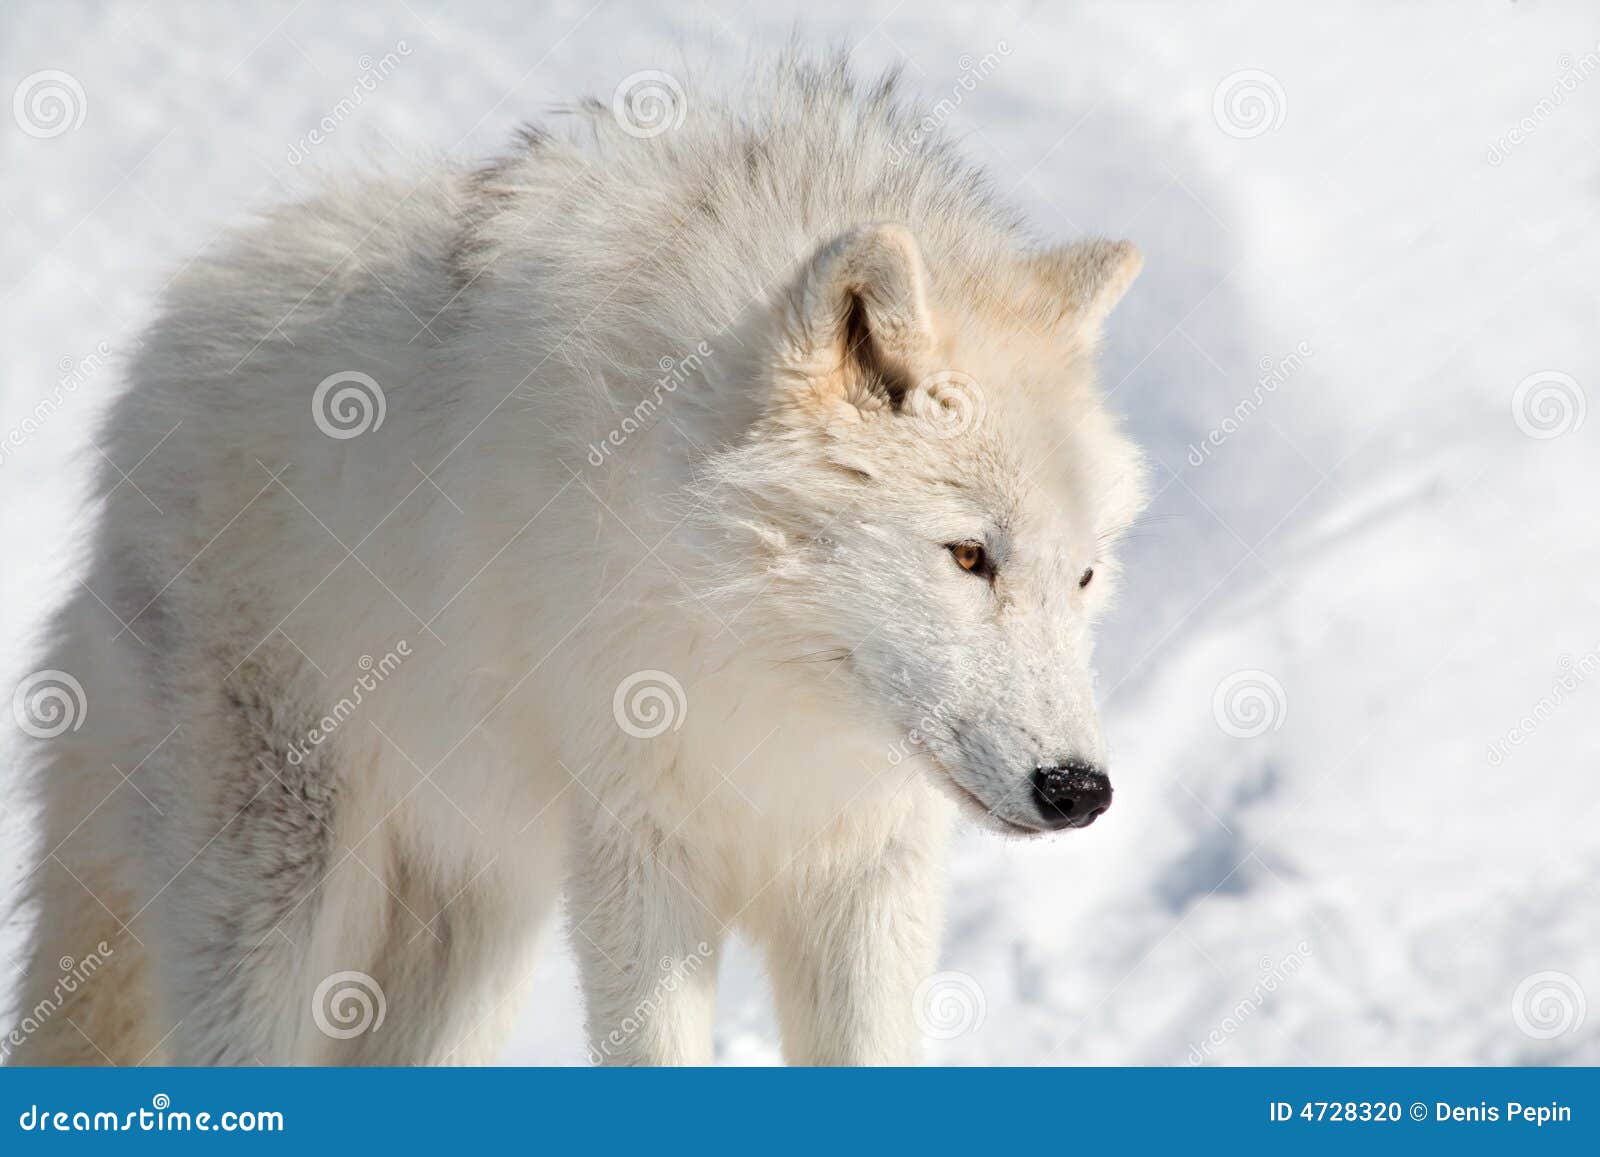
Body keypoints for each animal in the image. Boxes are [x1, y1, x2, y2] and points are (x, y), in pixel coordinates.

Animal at [6, 55, 1148, 1065]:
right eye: (968, 554)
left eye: (1084, 576)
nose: (1079, 789)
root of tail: (174, 328)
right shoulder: (638, 854)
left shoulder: (867, 873)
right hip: (280, 880)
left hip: (478, 926)